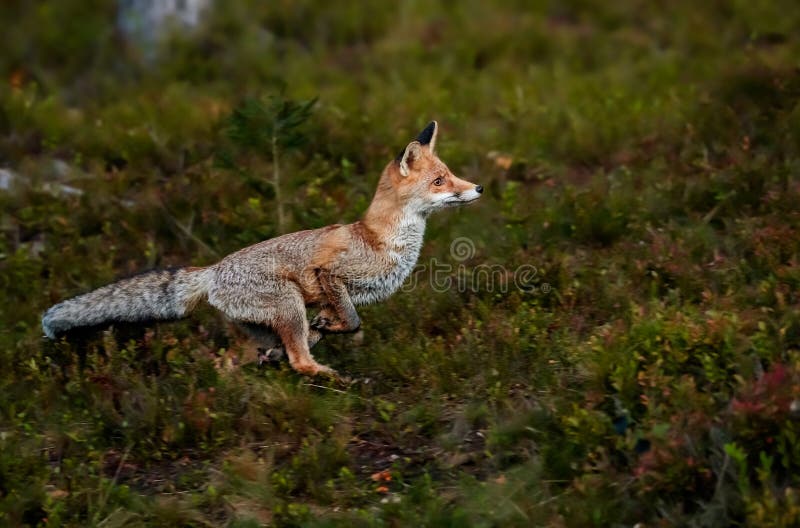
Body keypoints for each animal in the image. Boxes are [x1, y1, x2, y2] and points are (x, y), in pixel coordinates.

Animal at [42, 121, 483, 376]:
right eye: (440, 181)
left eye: (450, 175)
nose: (478, 188)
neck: (380, 239)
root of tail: (212, 270)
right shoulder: (330, 274)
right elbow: (353, 321)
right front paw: (334, 333)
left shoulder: (333, 298)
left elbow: (334, 322)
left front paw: (327, 328)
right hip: (288, 302)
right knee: (300, 361)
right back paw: (328, 376)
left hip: (269, 321)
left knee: (260, 356)